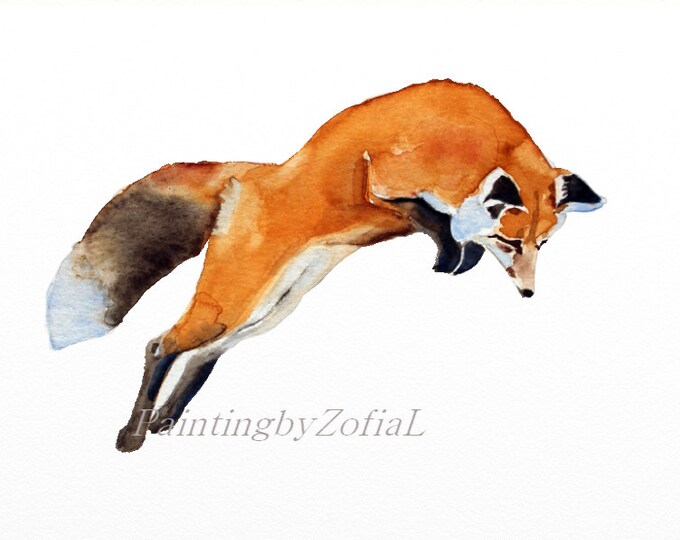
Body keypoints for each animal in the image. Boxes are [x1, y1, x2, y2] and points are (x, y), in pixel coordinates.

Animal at [47, 79, 605, 452]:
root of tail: (252, 174)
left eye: (542, 244)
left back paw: (166, 417)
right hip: (234, 300)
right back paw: (133, 433)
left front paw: (454, 252)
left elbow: (434, 223)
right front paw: (451, 252)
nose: (530, 294)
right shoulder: (381, 176)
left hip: (280, 304)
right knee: (161, 344)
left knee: (206, 354)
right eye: (509, 242)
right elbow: (422, 213)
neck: (476, 146)